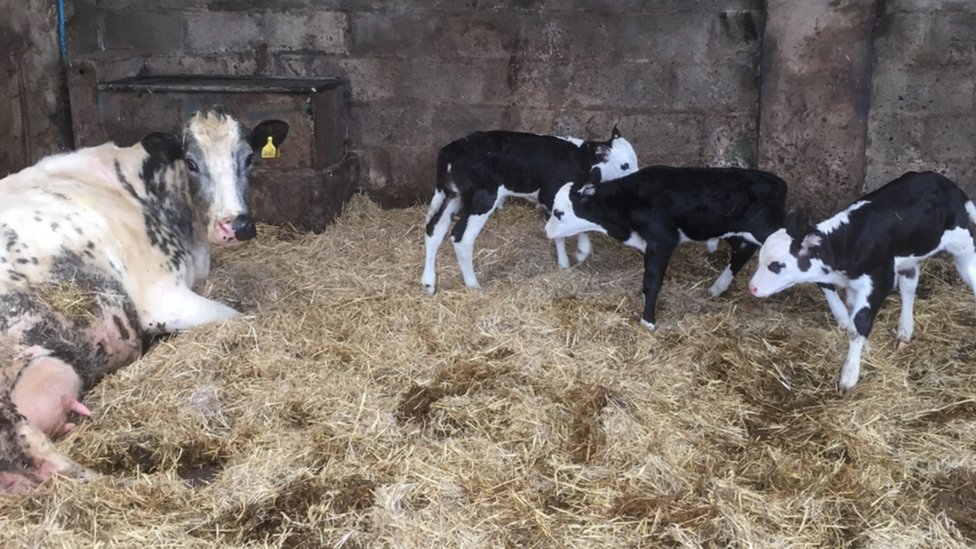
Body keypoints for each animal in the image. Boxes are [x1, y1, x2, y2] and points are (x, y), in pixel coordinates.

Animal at [421, 126, 639, 294]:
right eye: (624, 165)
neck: (581, 160)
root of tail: (453, 149)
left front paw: (574, 256)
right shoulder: (552, 195)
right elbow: (565, 233)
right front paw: (570, 260)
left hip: (450, 195)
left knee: (434, 230)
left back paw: (428, 283)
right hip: (483, 199)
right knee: (461, 237)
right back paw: (473, 284)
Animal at [545, 165, 789, 330]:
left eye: (559, 213)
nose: (546, 231)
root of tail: (778, 181)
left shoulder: (663, 240)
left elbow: (652, 282)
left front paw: (648, 321)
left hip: (764, 229)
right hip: (726, 228)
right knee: (744, 249)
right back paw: (718, 288)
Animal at [747, 171, 976, 392]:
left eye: (776, 265)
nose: (752, 287)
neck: (845, 243)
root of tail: (946, 183)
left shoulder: (879, 280)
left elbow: (859, 325)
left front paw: (849, 376)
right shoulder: (850, 283)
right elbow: (842, 308)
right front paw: (851, 329)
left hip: (964, 248)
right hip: (909, 257)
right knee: (909, 286)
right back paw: (904, 330)